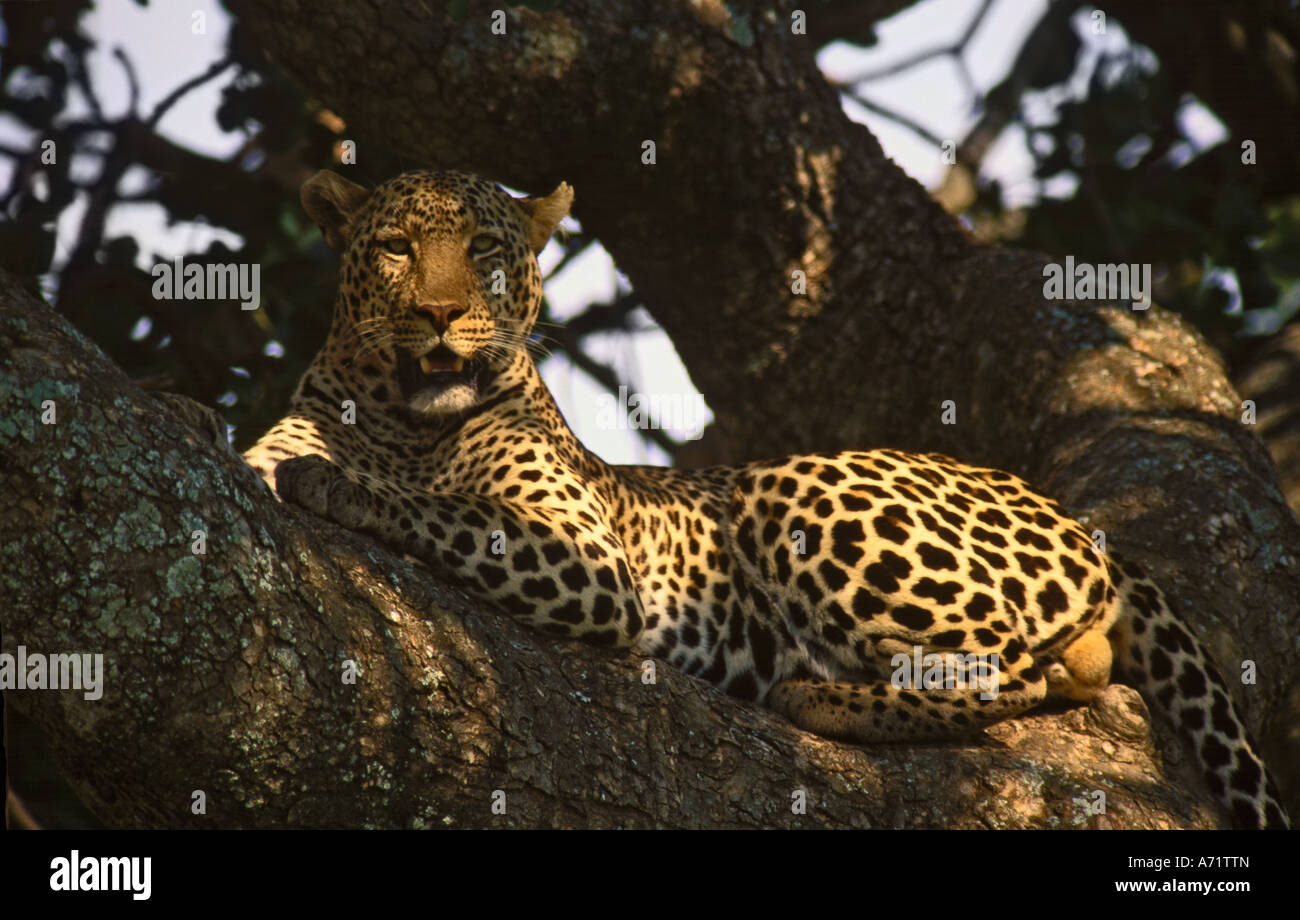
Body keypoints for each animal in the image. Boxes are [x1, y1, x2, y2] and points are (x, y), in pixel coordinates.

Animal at [244, 167, 1289, 829]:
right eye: (393, 249)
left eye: (486, 252)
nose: (440, 314)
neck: (405, 421)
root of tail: (1082, 524)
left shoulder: (589, 560)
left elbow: (442, 512)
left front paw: (339, 484)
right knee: (1065, 668)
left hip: (787, 490)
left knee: (1017, 667)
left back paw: (818, 698)